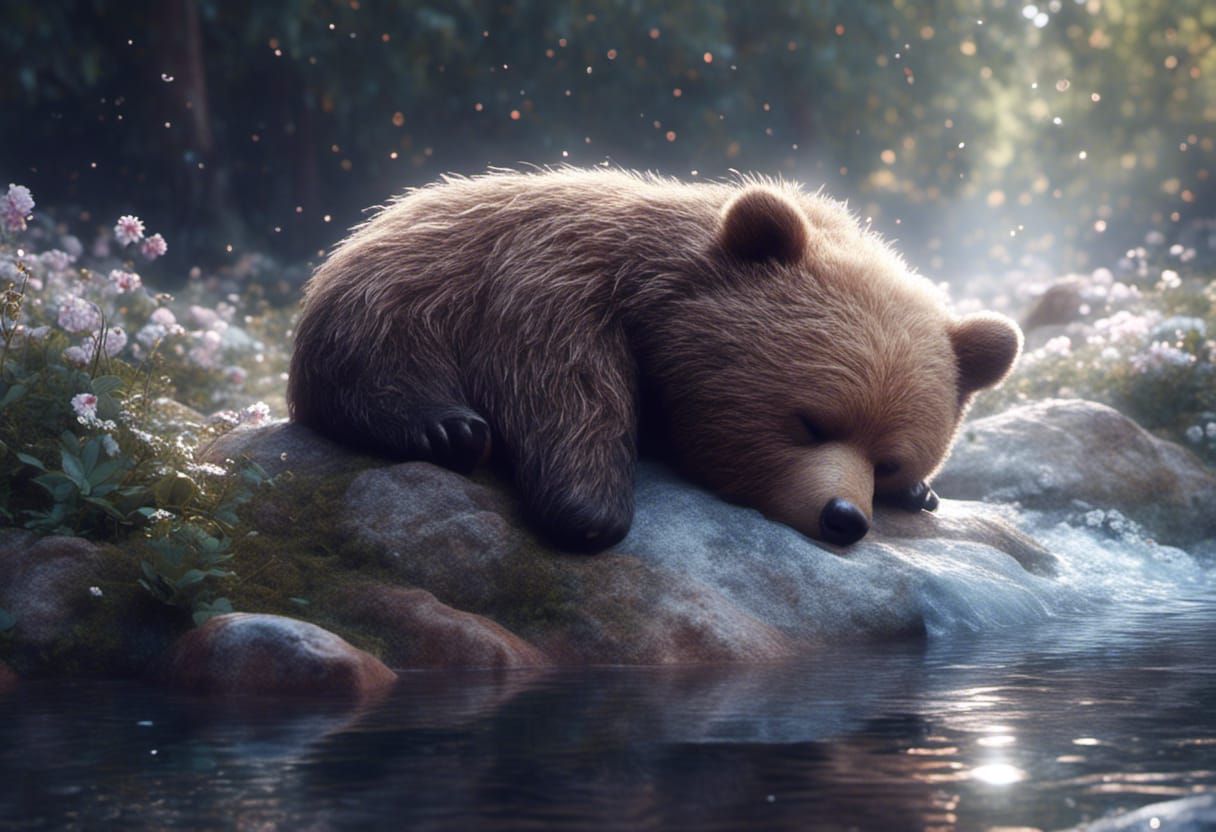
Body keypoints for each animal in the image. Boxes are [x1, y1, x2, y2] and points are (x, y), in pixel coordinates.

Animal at [287, 168, 1021, 552]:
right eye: (811, 422)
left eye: (890, 459)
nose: (842, 517)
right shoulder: (546, 289)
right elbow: (564, 391)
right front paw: (590, 506)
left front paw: (922, 493)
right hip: (388, 295)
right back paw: (445, 427)